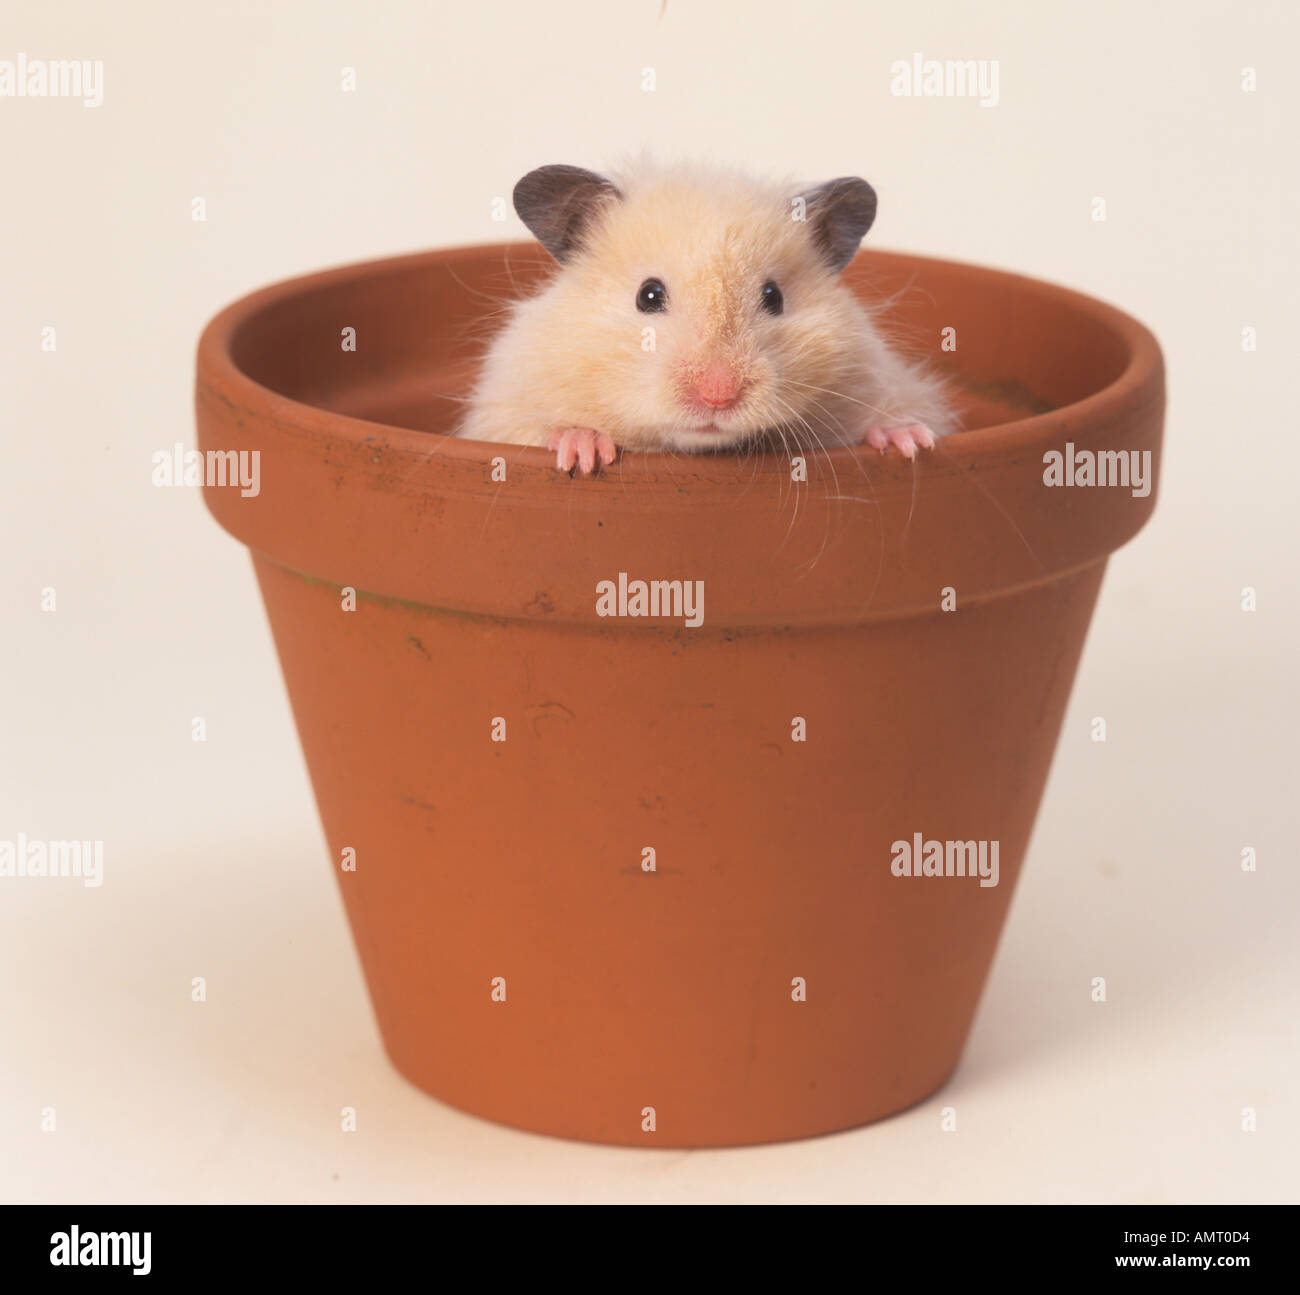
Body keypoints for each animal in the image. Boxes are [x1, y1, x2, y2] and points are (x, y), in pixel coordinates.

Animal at [459, 161, 958, 474]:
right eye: (648, 295)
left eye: (774, 297)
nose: (718, 396)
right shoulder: (502, 407)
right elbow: (534, 428)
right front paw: (581, 449)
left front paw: (909, 442)